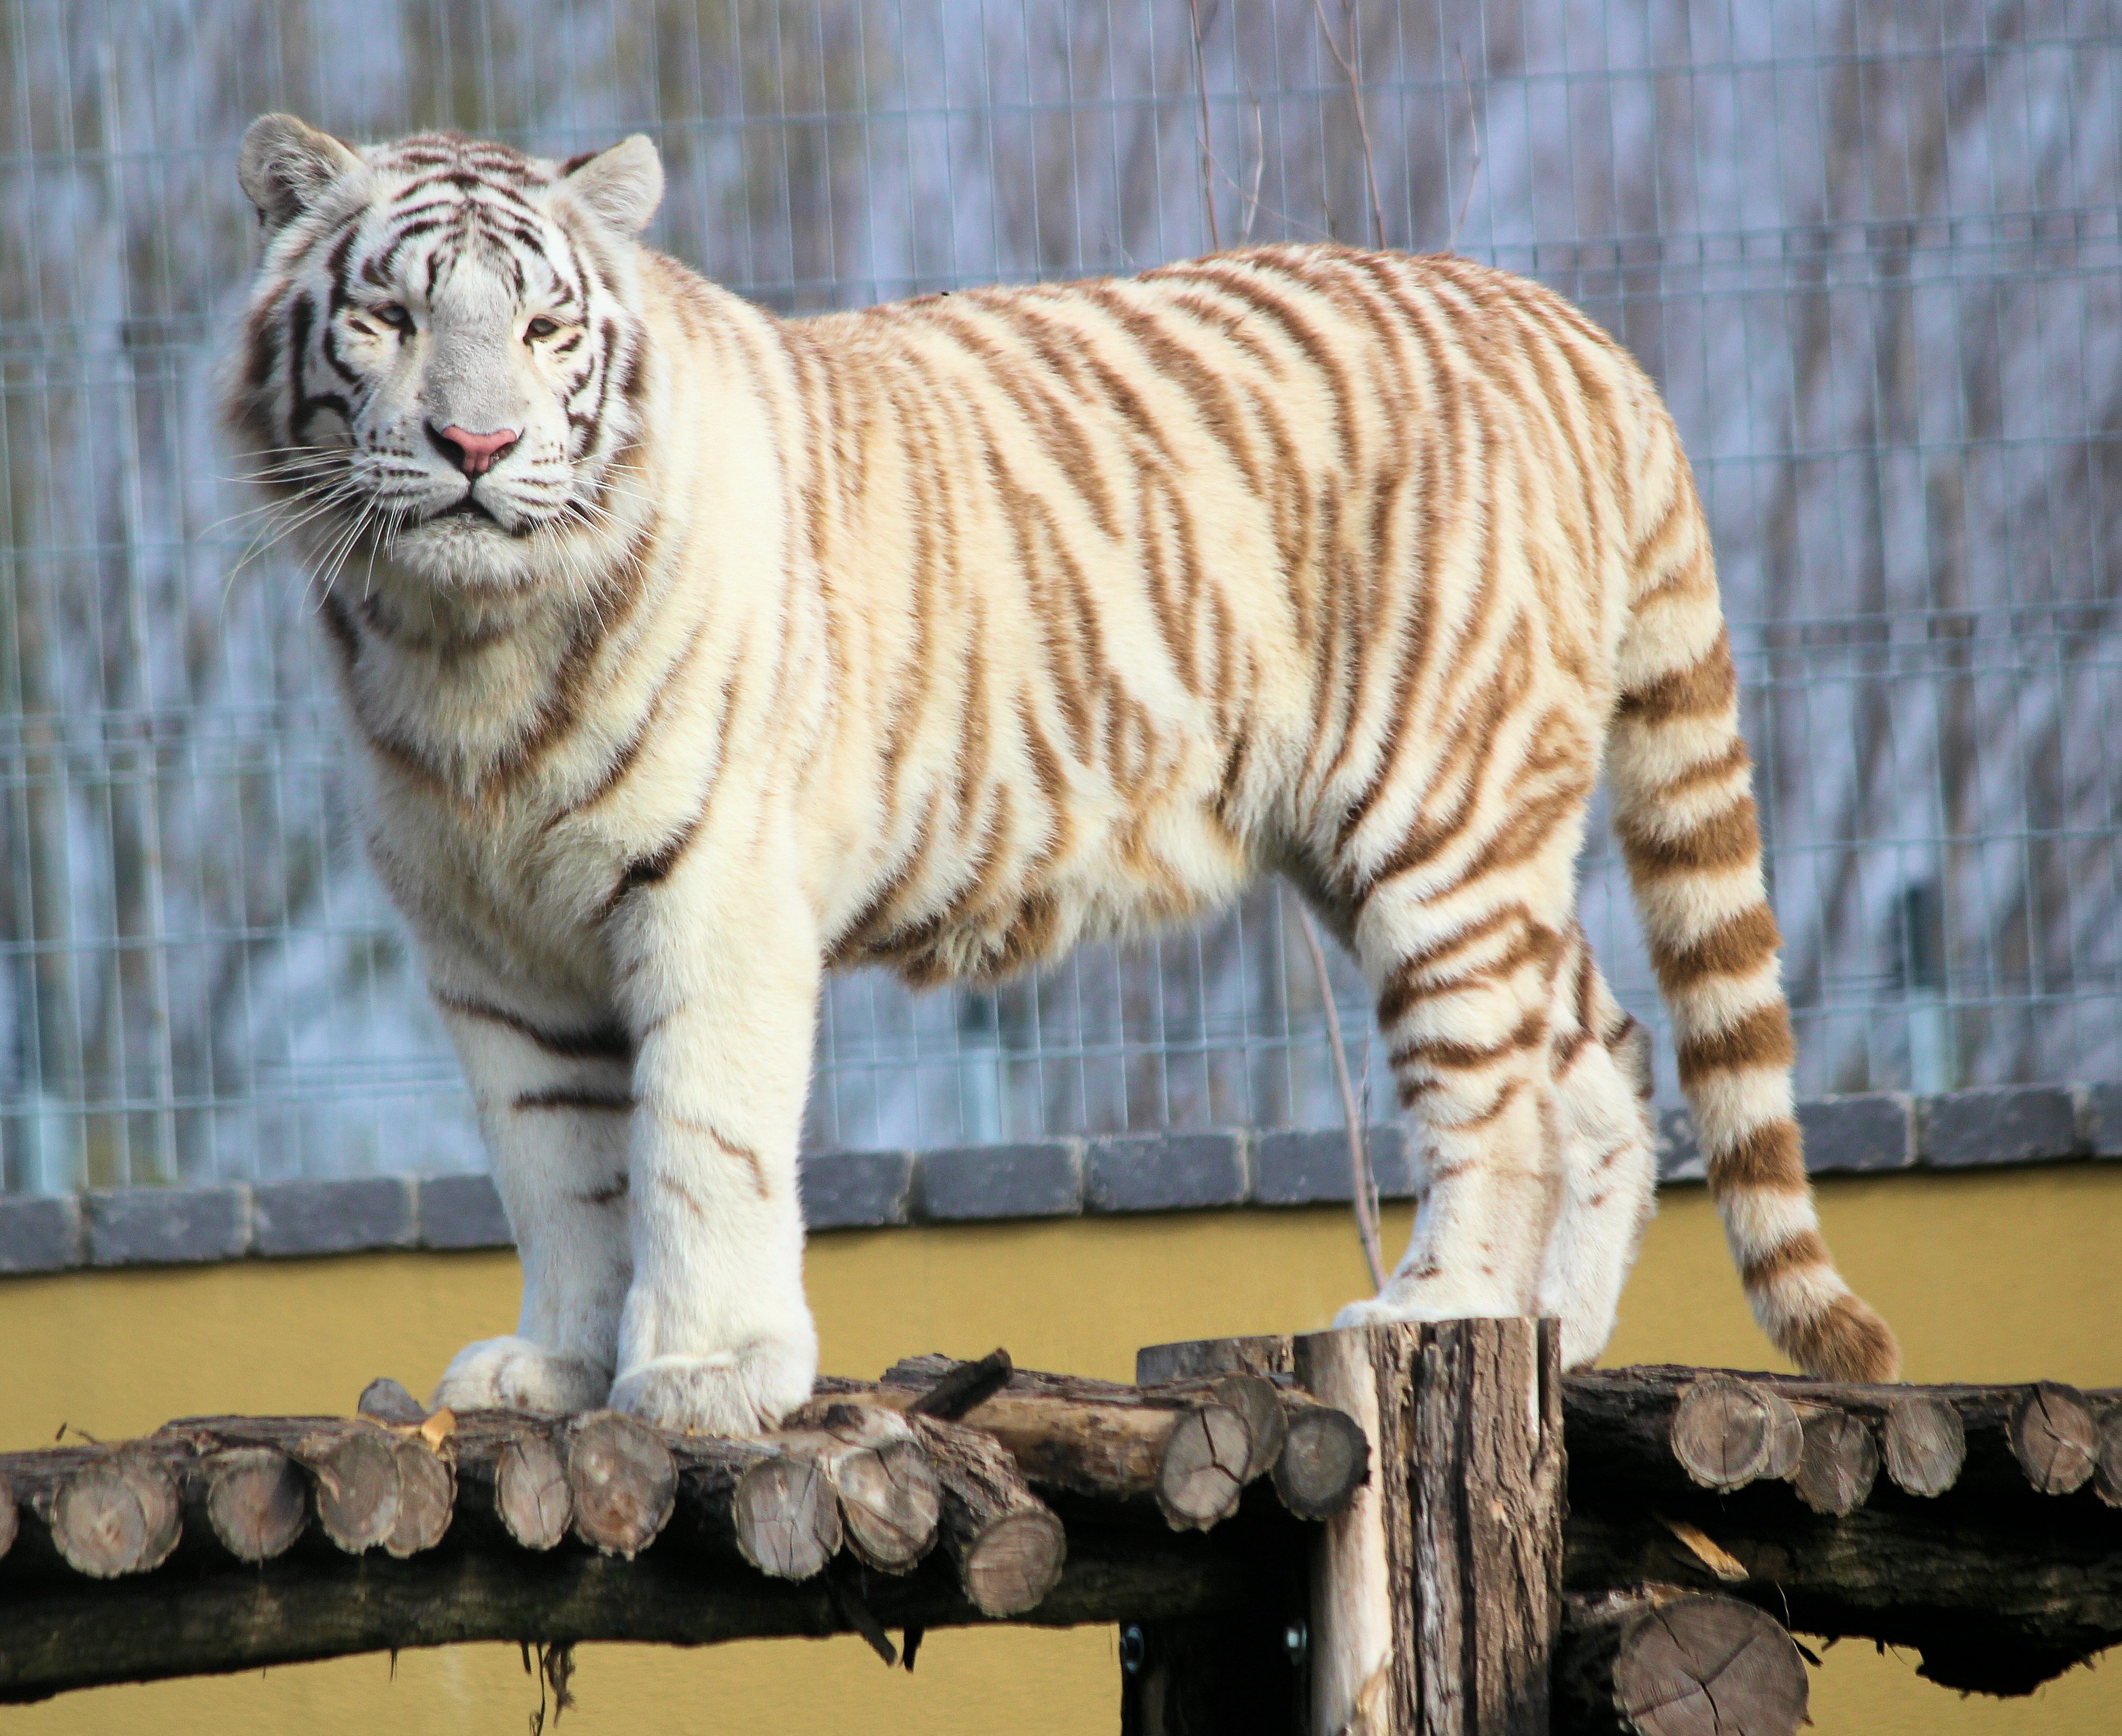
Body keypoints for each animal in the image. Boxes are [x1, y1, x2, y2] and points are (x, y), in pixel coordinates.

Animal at [225, 113, 1898, 1436]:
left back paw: (1439, 1311)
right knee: (1605, 1054)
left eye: (546, 331)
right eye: (386, 317)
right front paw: (558, 1367)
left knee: (1502, 1092)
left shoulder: (712, 895)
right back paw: (1555, 1335)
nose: (476, 444)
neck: (463, 646)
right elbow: (558, 1167)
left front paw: (702, 1374)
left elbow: (694, 1140)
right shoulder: (490, 949)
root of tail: (1574, 324)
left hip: (1436, 812)